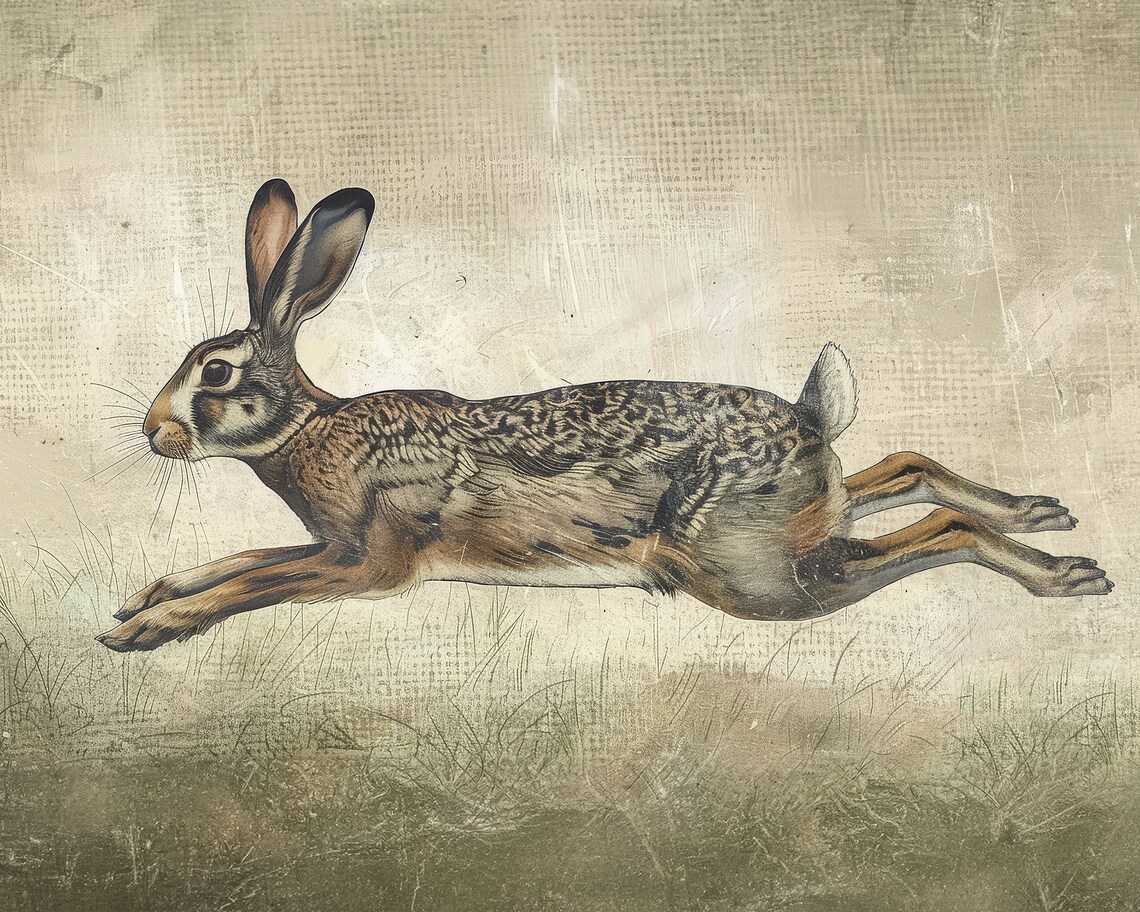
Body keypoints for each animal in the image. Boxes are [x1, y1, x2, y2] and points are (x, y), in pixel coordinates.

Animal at [96, 180, 1113, 651]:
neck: (308, 426)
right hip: (800, 529)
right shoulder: (332, 544)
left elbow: (260, 583)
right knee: (902, 471)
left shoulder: (370, 562)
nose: (153, 432)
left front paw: (144, 631)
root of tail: (813, 424)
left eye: (216, 373)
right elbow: (243, 559)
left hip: (746, 573)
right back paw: (1040, 515)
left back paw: (1068, 576)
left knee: (936, 530)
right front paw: (148, 595)